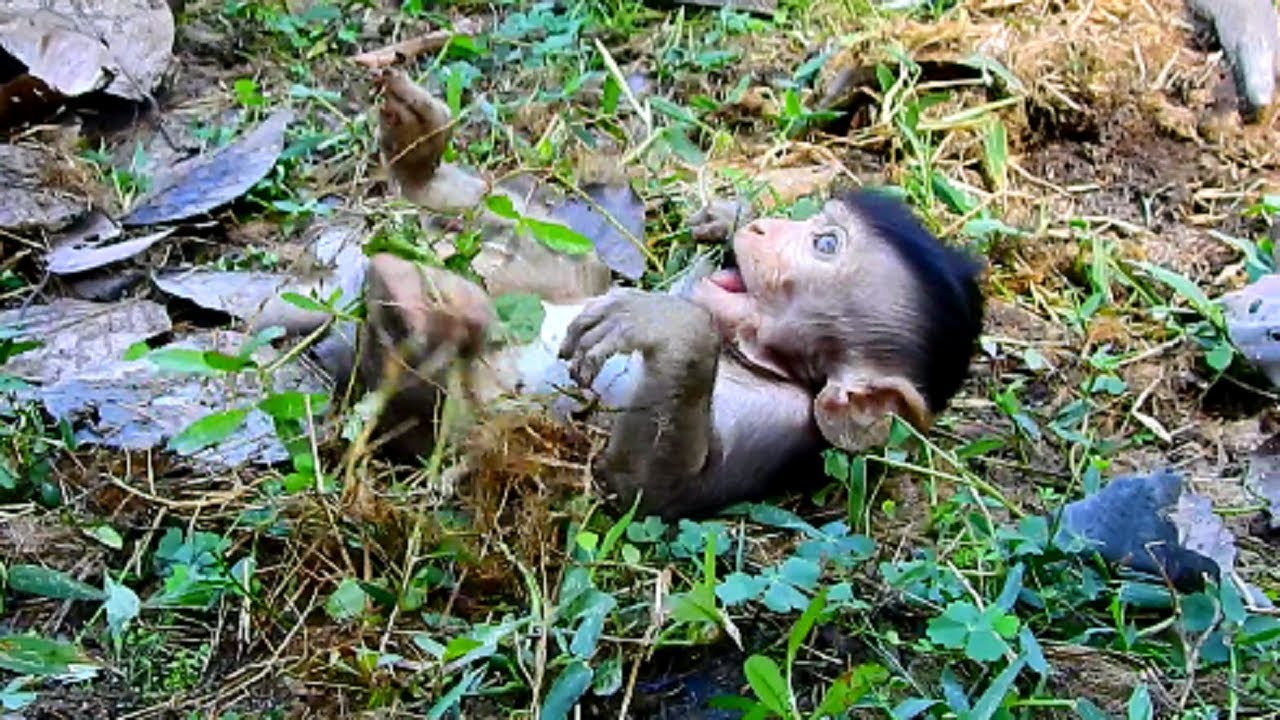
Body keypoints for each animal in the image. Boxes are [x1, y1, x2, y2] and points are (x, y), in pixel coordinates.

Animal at [351, 71, 985, 519]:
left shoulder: (781, 418)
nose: (762, 231)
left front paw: (672, 328)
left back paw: (417, 305)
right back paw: (422, 165)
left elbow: (645, 489)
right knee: (569, 271)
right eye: (814, 228)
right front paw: (729, 216)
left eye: (824, 244)